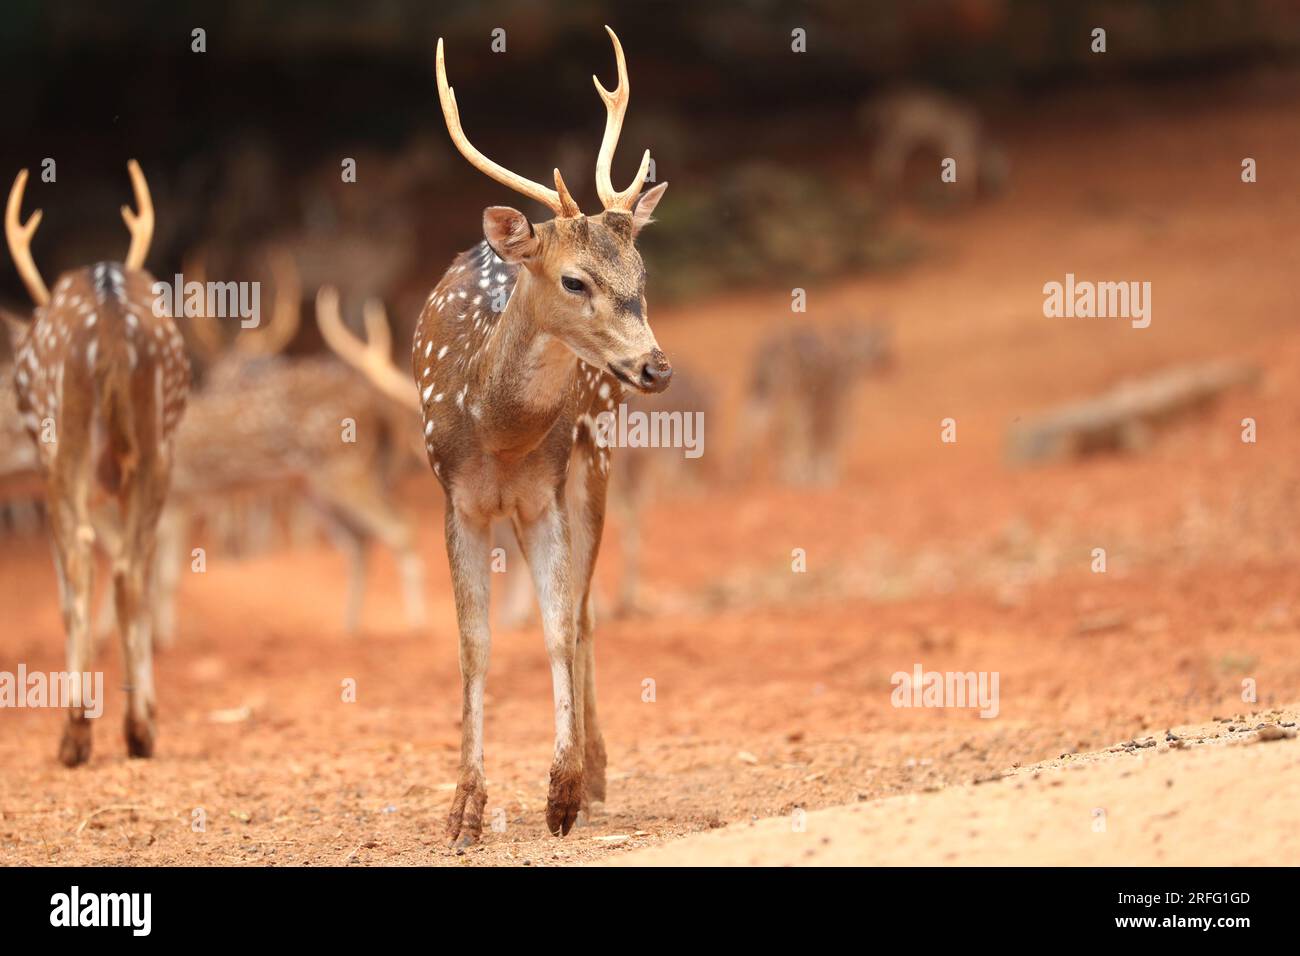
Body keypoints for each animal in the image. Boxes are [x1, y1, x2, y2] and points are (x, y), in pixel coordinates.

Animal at [3, 161, 190, 765]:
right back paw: (139, 729)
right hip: (157, 446)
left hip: (62, 441)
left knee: (83, 558)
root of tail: (107, 318)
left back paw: (76, 733)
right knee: (134, 568)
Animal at [415, 27, 671, 844]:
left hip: (595, 459)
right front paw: (464, 809)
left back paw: (596, 773)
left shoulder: (547, 491)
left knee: (585, 611)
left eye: (640, 273)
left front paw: (561, 791)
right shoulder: (455, 499)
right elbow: (473, 643)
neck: (496, 433)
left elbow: (559, 627)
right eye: (573, 280)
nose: (655, 366)